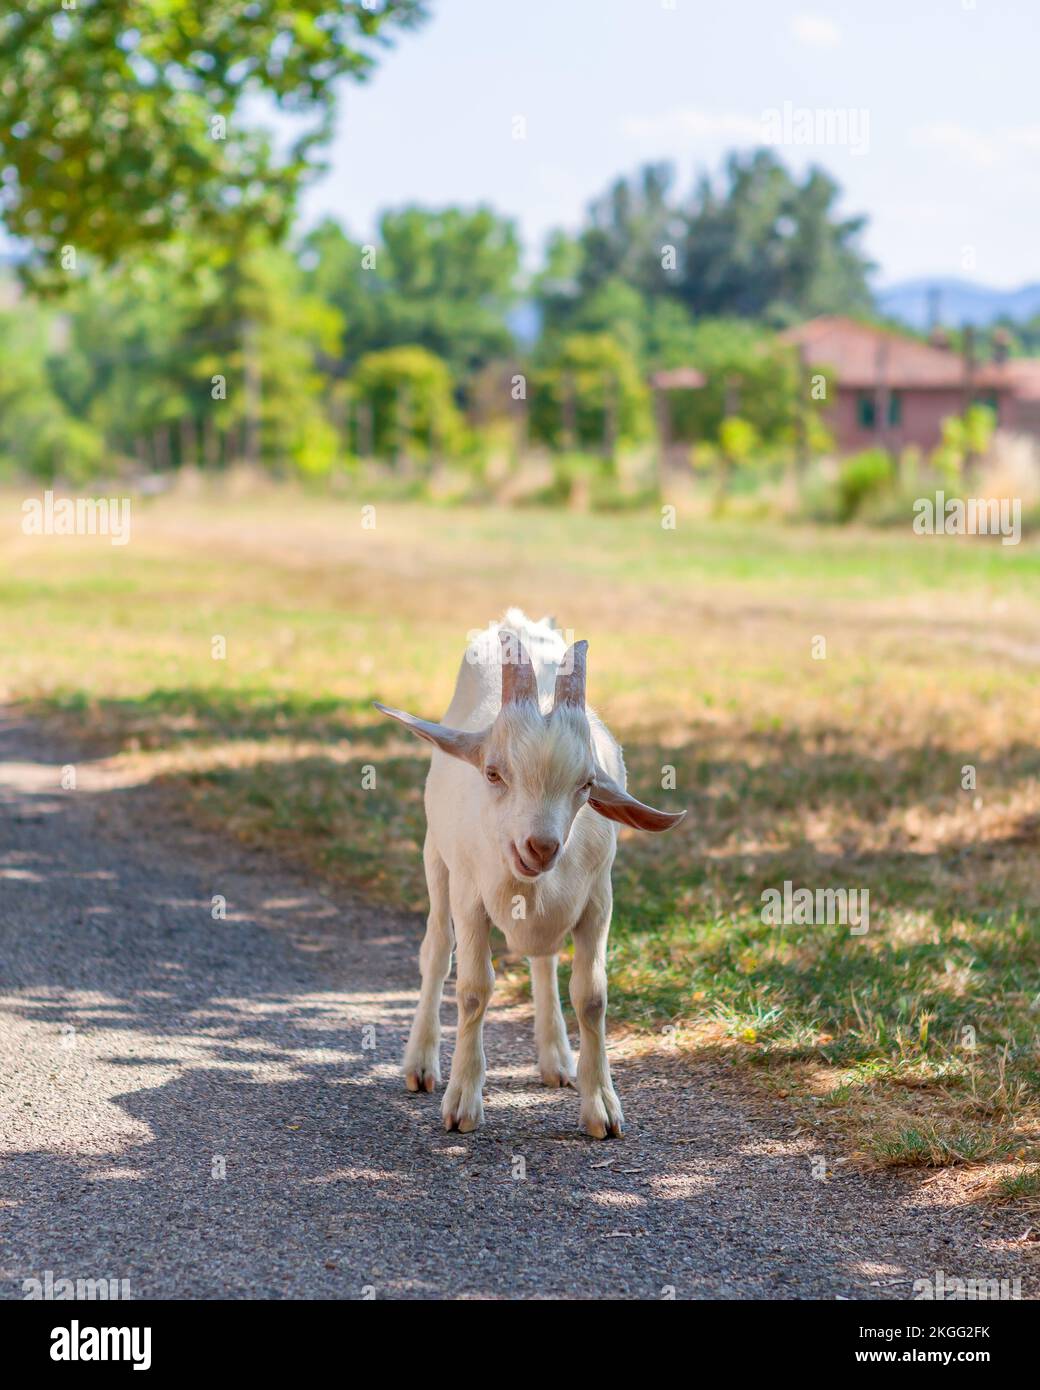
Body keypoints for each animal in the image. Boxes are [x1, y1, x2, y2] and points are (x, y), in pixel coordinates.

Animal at [375, 610, 685, 1137]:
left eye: (587, 784)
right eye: (493, 773)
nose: (540, 846)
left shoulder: (598, 900)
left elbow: (591, 996)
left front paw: (600, 1106)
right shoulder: (470, 897)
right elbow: (474, 990)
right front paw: (462, 1103)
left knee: (544, 960)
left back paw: (555, 1058)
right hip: (436, 857)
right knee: (436, 951)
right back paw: (421, 1063)